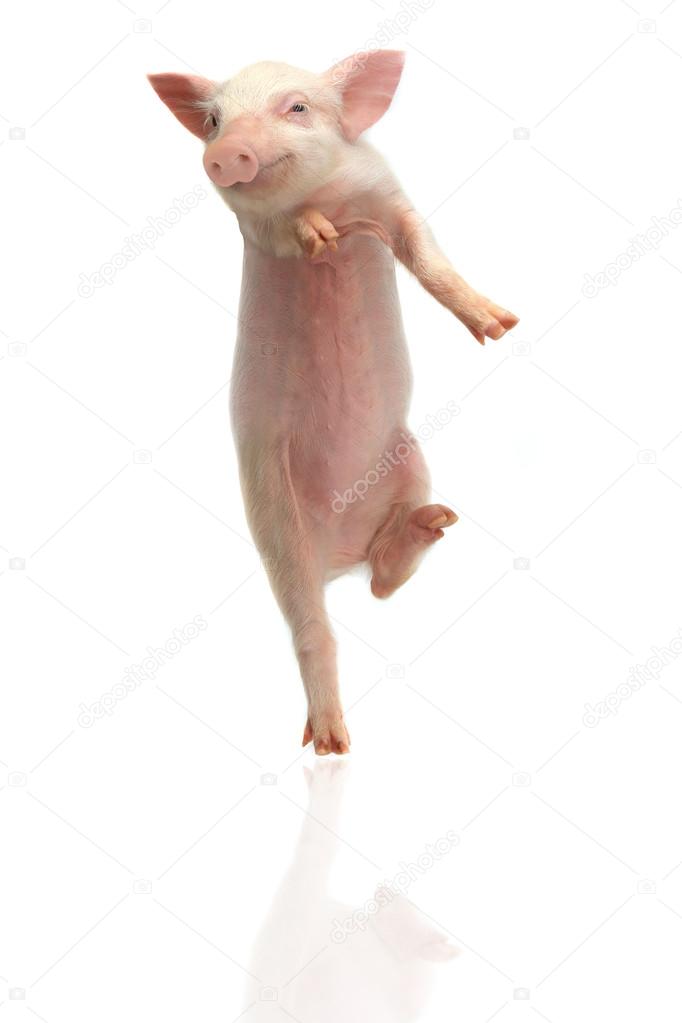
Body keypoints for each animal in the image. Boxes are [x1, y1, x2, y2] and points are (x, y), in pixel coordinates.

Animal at [148, 51, 519, 756]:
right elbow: (284, 228)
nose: (227, 153)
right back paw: (332, 745)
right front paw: (319, 237)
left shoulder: (391, 198)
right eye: (215, 122)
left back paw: (437, 521)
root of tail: (338, 557)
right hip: (275, 517)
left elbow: (426, 257)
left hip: (409, 461)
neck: (331, 201)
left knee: (382, 583)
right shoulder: (256, 227)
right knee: (314, 628)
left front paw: (502, 329)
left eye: (296, 107)